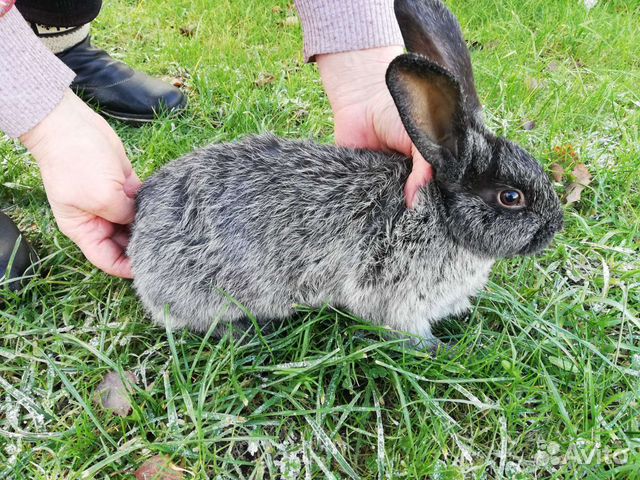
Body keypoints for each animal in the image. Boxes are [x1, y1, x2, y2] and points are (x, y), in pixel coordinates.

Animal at [128, 0, 563, 345]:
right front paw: (440, 349)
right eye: (511, 197)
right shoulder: (399, 296)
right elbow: (404, 328)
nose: (555, 227)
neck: (443, 217)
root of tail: (140, 222)